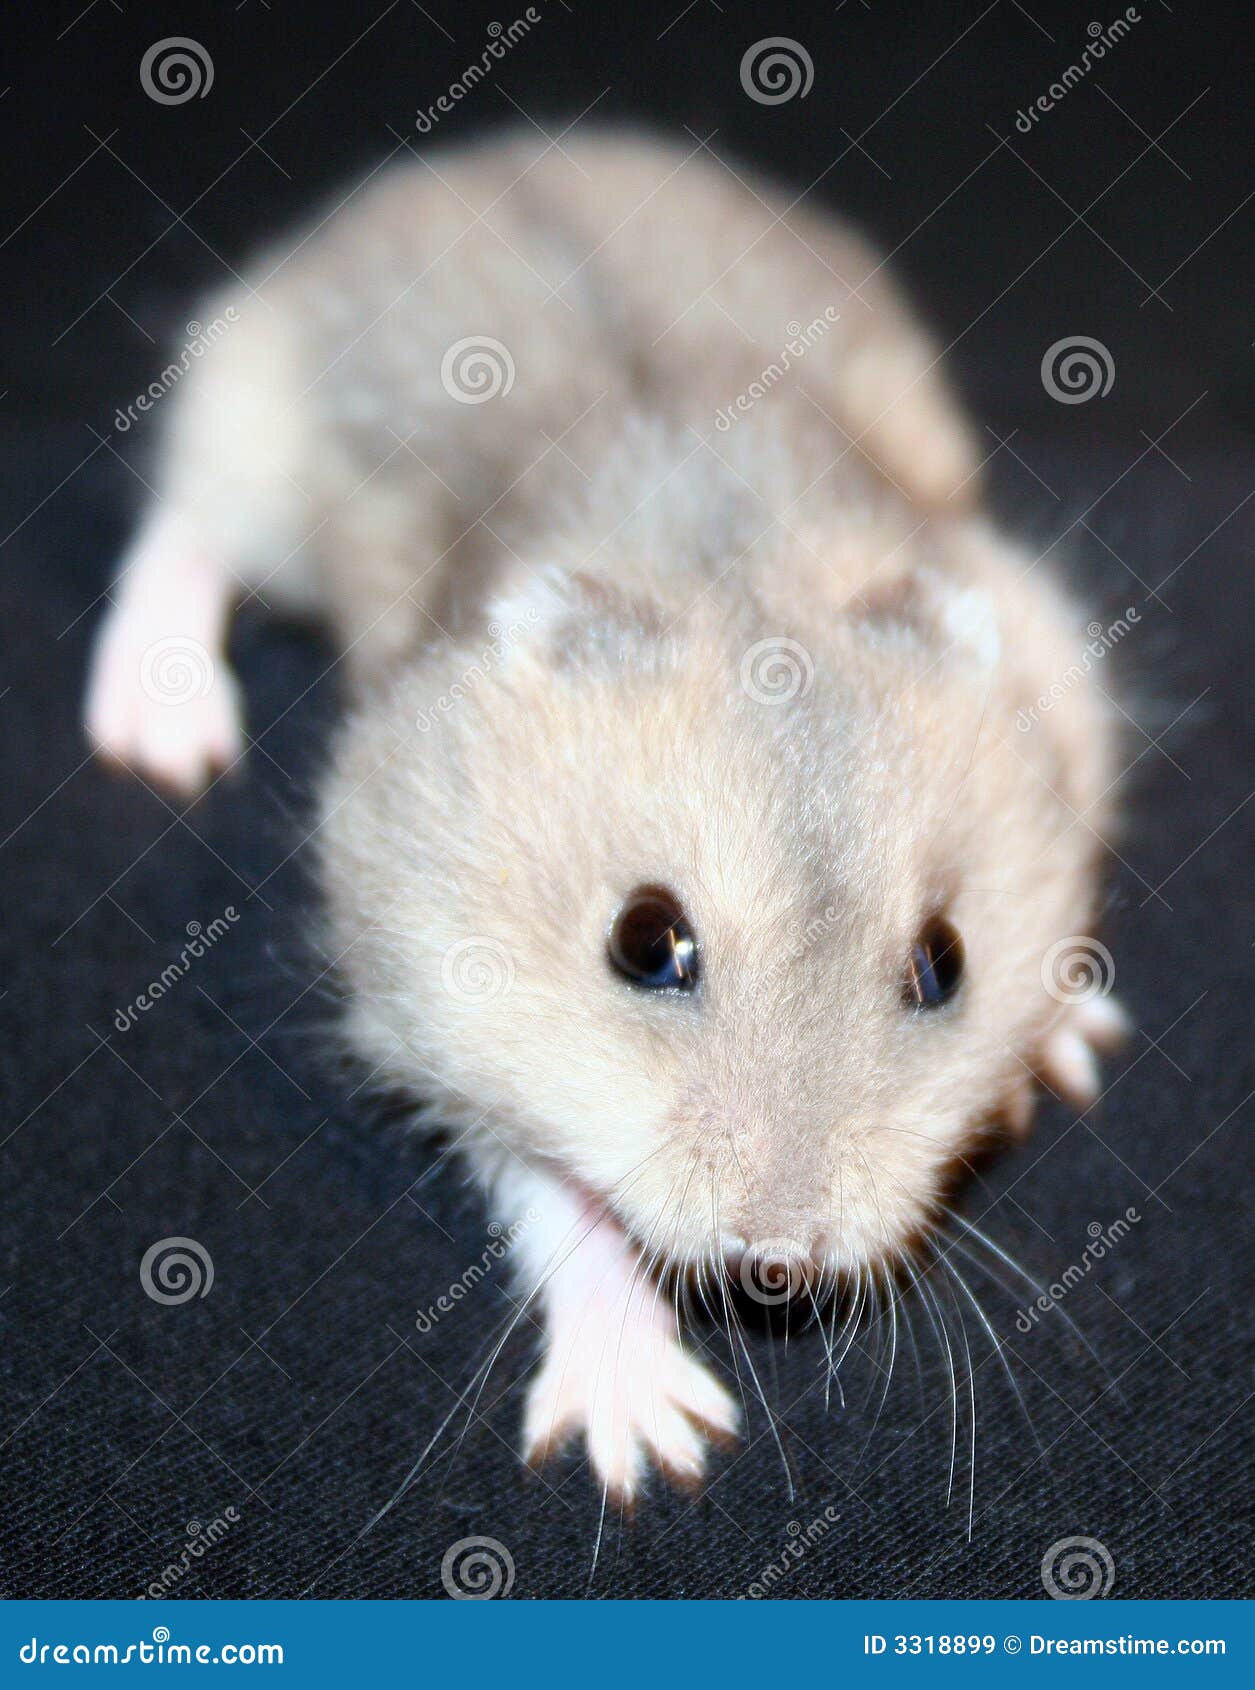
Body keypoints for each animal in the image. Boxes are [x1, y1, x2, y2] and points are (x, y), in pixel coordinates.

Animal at [84, 128, 1126, 1500]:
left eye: (944, 965)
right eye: (644, 943)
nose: (776, 1257)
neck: (729, 557)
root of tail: (483, 156)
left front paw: (1062, 1047)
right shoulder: (433, 980)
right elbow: (556, 1185)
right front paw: (655, 1446)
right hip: (245, 422)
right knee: (181, 533)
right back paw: (160, 736)